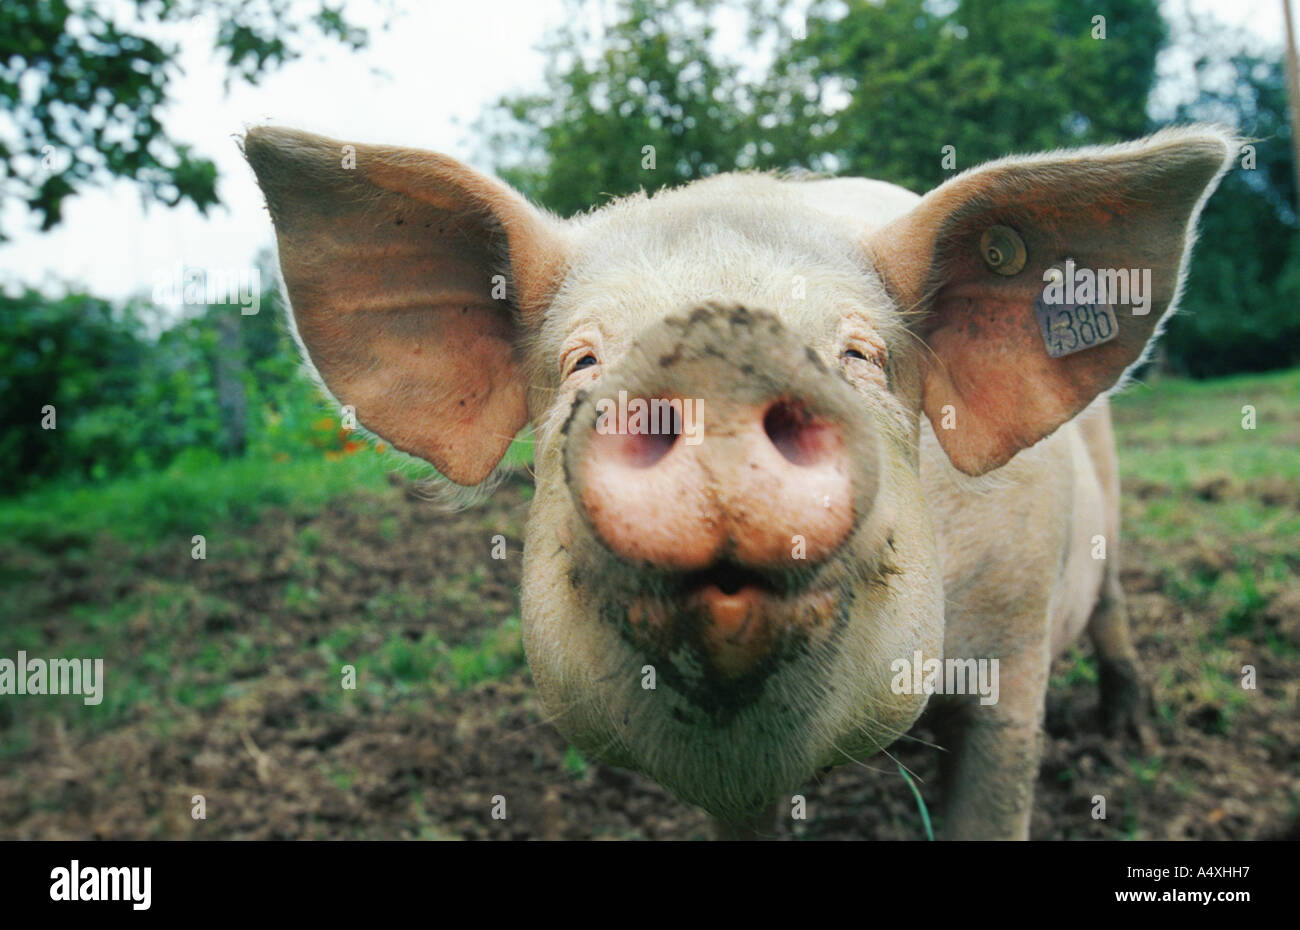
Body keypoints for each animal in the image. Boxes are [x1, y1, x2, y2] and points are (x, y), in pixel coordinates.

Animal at [243, 125, 1235, 838]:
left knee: (1113, 604)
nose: (719, 350)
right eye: (581, 361)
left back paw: (1129, 732)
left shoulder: (1016, 653)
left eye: (861, 355)